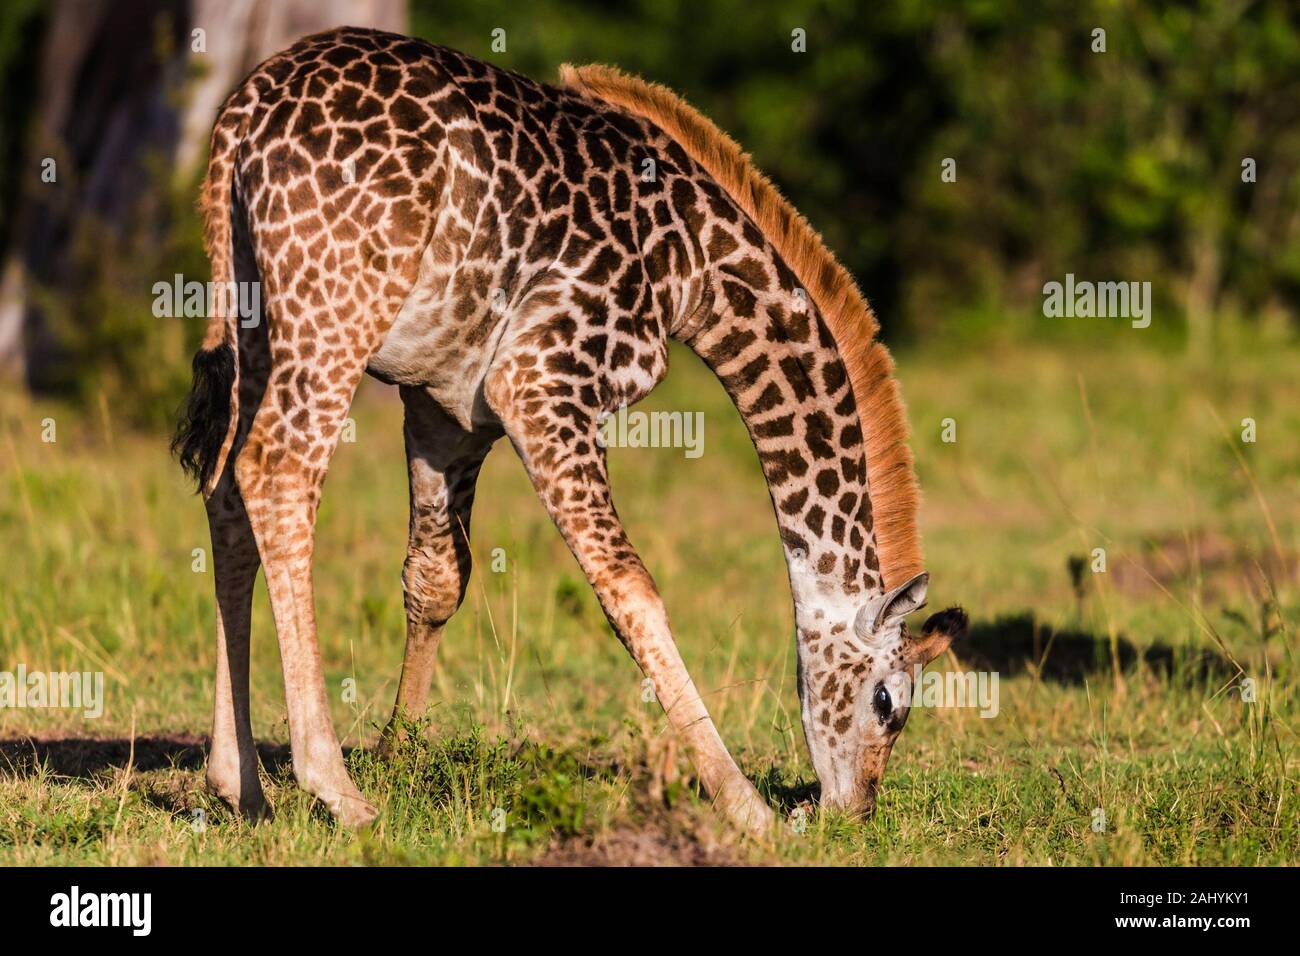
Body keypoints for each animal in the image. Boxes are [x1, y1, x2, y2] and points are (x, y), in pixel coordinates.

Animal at [172, 26, 968, 833]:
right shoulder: (540, 381)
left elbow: (436, 578)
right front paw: (747, 808)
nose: (853, 811)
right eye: (888, 703)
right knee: (276, 472)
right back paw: (335, 789)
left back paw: (238, 782)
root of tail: (240, 118)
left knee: (224, 487)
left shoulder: (447, 408)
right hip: (335, 310)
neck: (694, 273)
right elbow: (630, 587)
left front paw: (399, 753)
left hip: (247, 308)